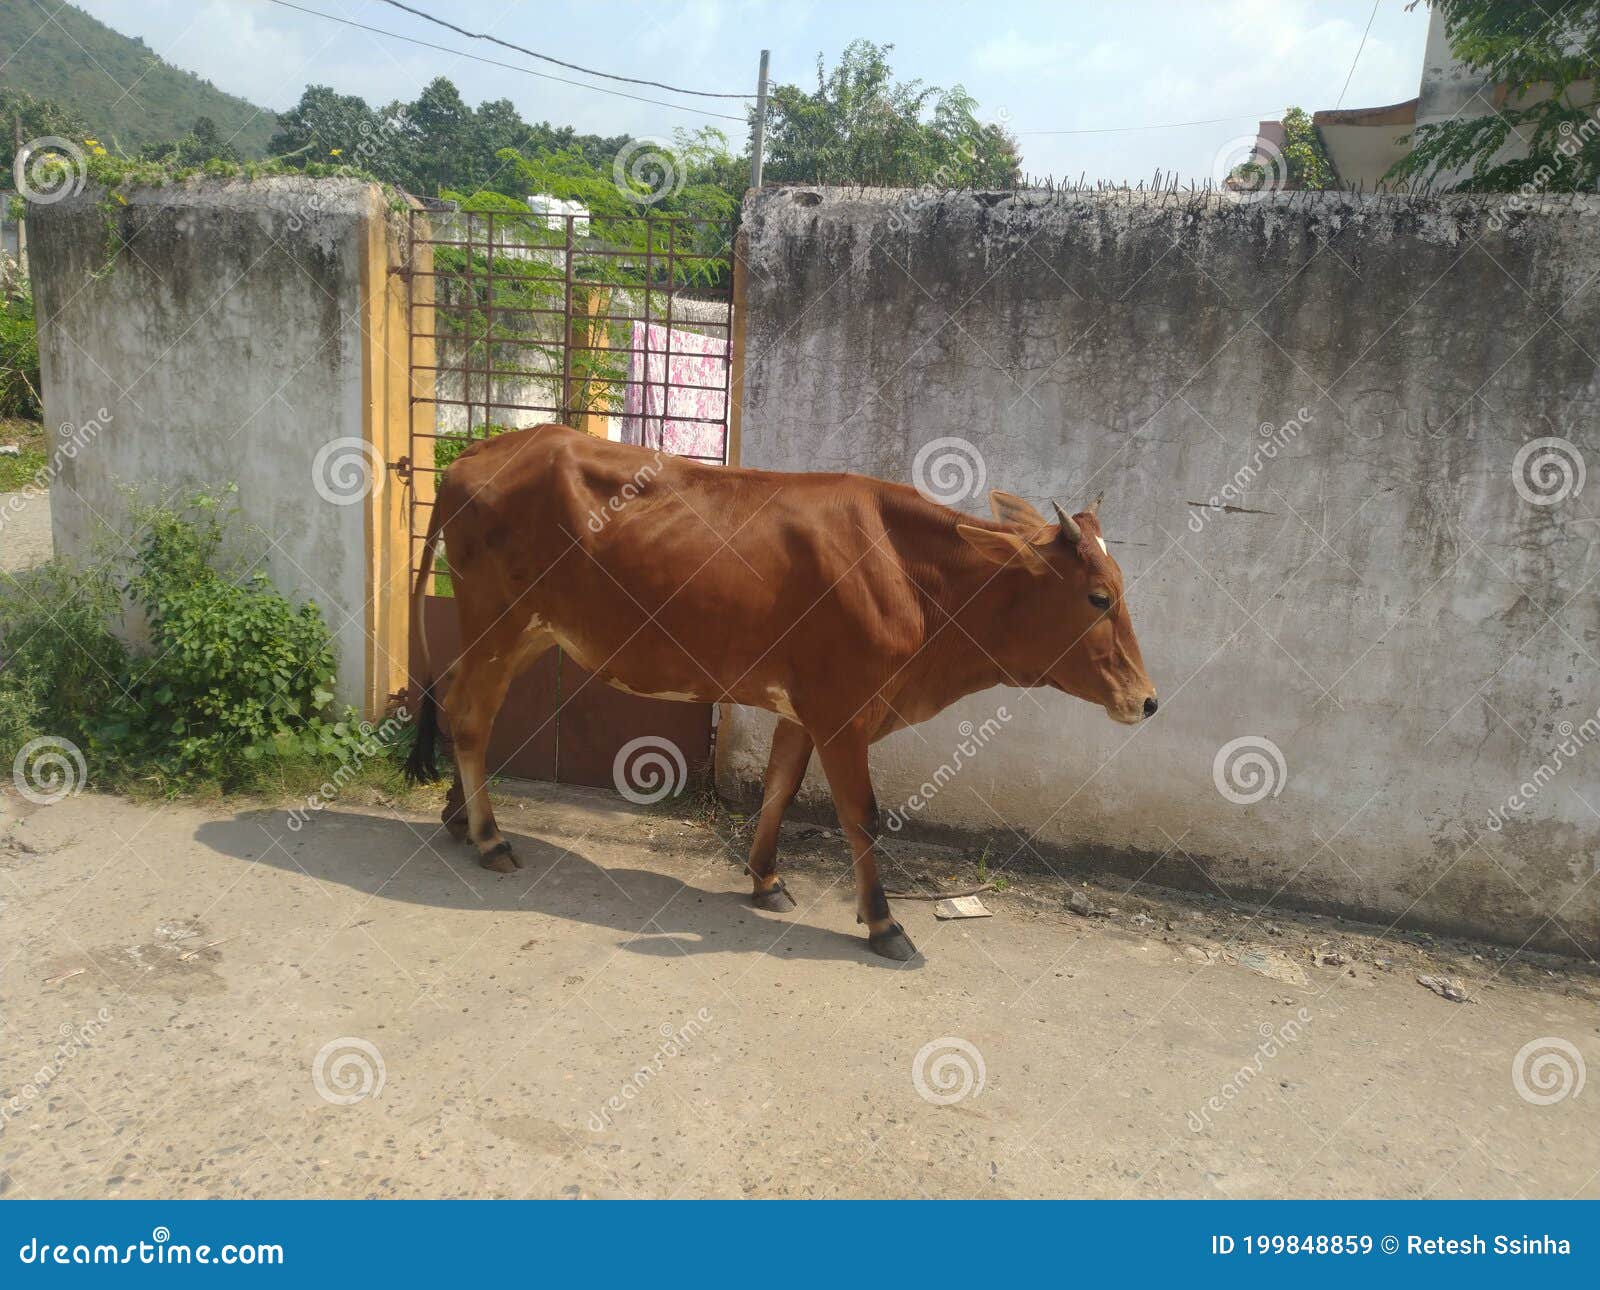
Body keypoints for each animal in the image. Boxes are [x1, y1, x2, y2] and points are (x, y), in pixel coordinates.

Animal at [404, 424, 1156, 961]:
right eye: (1099, 596)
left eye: (1121, 588)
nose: (1148, 699)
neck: (913, 579)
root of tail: (476, 456)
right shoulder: (843, 712)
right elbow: (862, 814)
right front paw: (883, 923)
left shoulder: (805, 710)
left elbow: (779, 789)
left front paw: (766, 879)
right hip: (498, 619)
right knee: (470, 718)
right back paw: (490, 838)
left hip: (529, 632)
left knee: (466, 705)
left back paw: (458, 817)